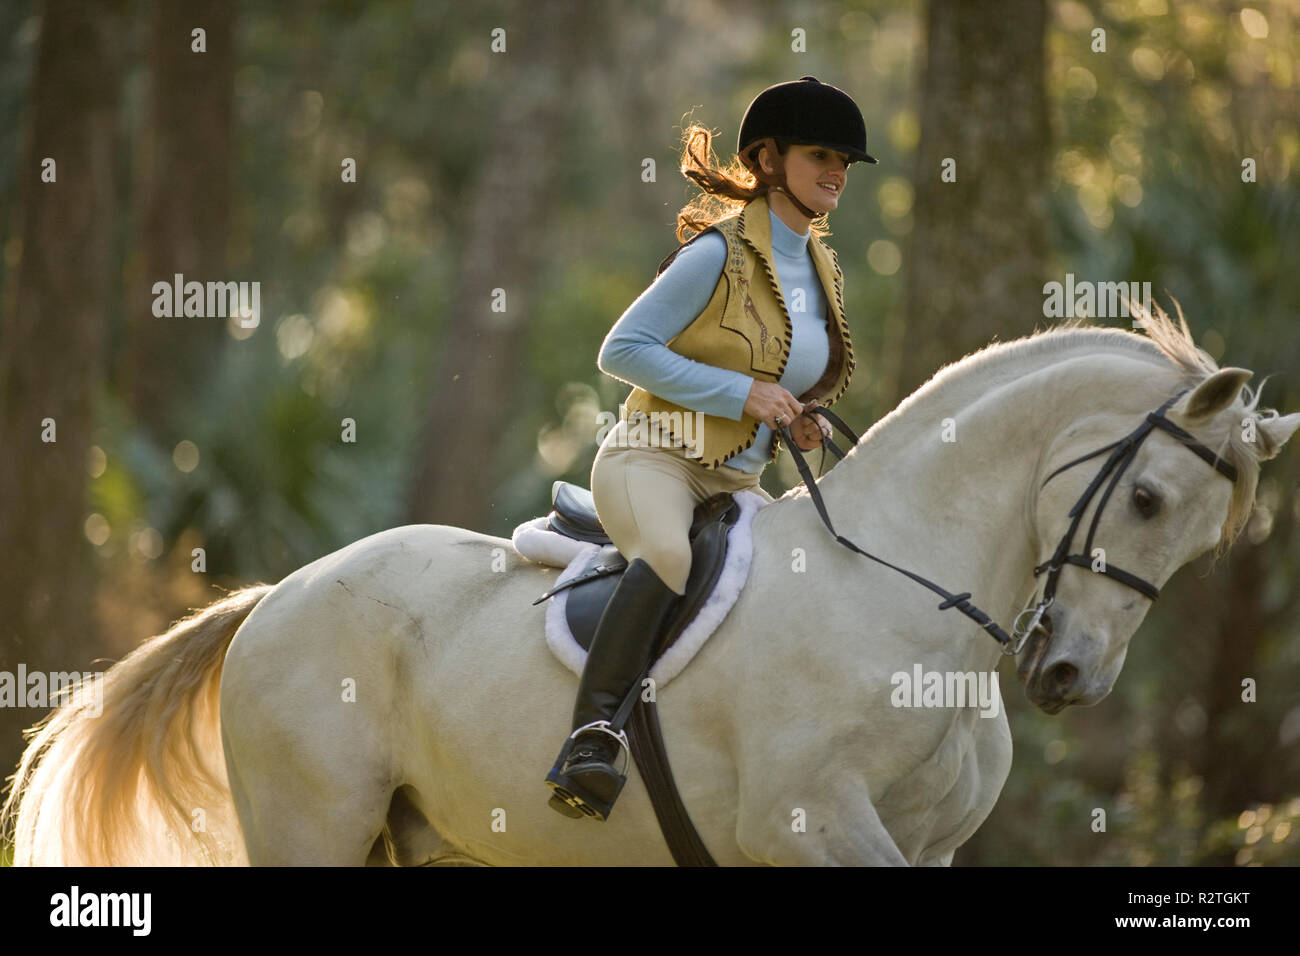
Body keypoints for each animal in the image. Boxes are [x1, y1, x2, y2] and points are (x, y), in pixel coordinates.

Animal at [4, 306, 1296, 866]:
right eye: (1143, 500)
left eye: (1198, 547)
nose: (1067, 673)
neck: (904, 602)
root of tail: (275, 596)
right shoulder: (808, 827)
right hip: (311, 824)